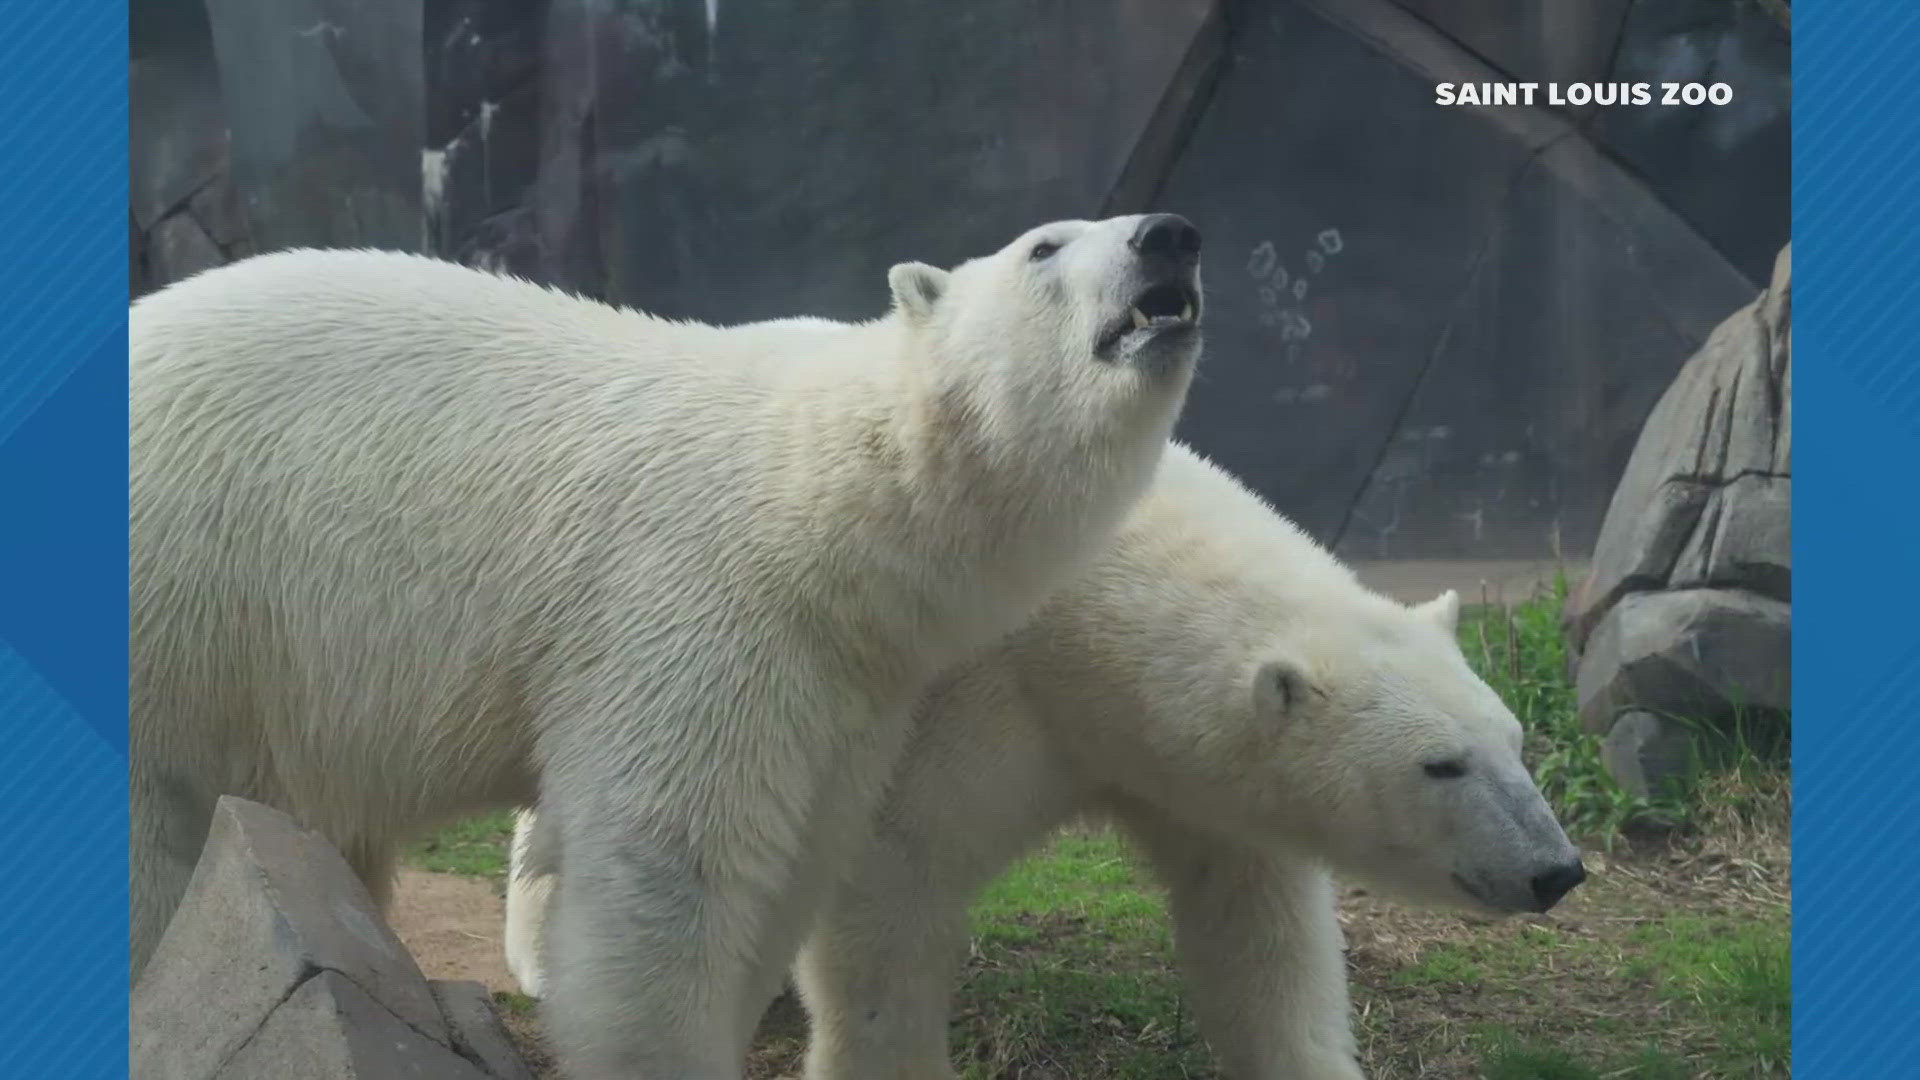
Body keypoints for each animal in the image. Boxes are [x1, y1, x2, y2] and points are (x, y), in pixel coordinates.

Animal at [129, 213, 1206, 1079]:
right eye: (1045, 245)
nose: (1172, 233)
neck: (826, 497)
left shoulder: (847, 684)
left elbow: (796, 860)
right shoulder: (698, 599)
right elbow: (670, 867)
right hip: (182, 588)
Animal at [504, 441, 1585, 1080]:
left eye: (1516, 742)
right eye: (1441, 766)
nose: (1556, 870)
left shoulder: (1188, 770)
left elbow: (1262, 929)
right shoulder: (973, 697)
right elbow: (890, 889)